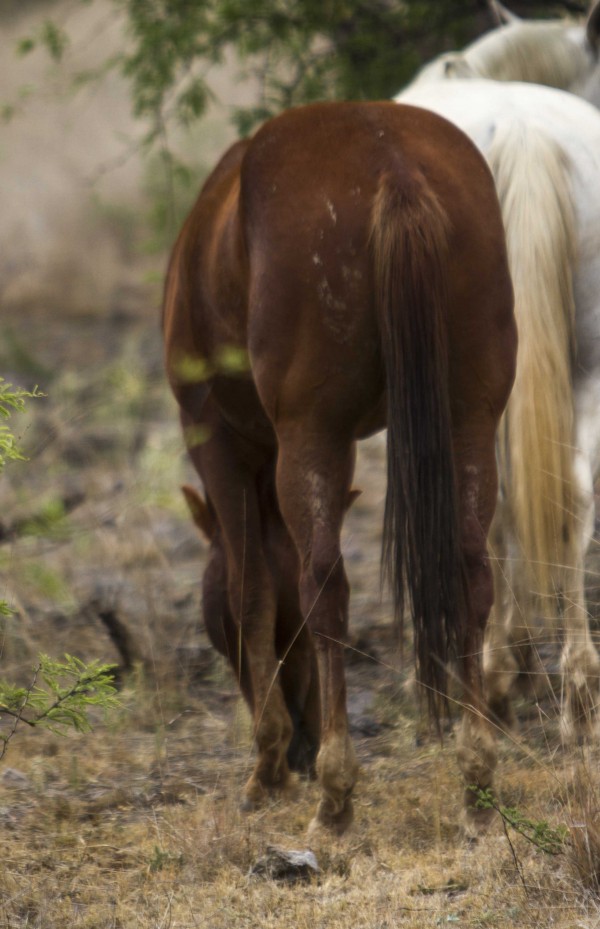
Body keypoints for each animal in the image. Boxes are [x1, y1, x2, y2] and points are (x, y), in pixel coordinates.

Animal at [163, 100, 516, 834]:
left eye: (219, 638)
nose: (298, 745)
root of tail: (392, 161)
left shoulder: (217, 440)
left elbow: (251, 587)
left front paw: (267, 765)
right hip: (469, 417)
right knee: (471, 571)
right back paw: (475, 778)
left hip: (310, 433)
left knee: (326, 584)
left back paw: (335, 791)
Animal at [396, 76, 600, 741]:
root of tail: (522, 128)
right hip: (585, 366)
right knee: (569, 497)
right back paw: (579, 692)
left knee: (490, 502)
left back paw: (491, 677)